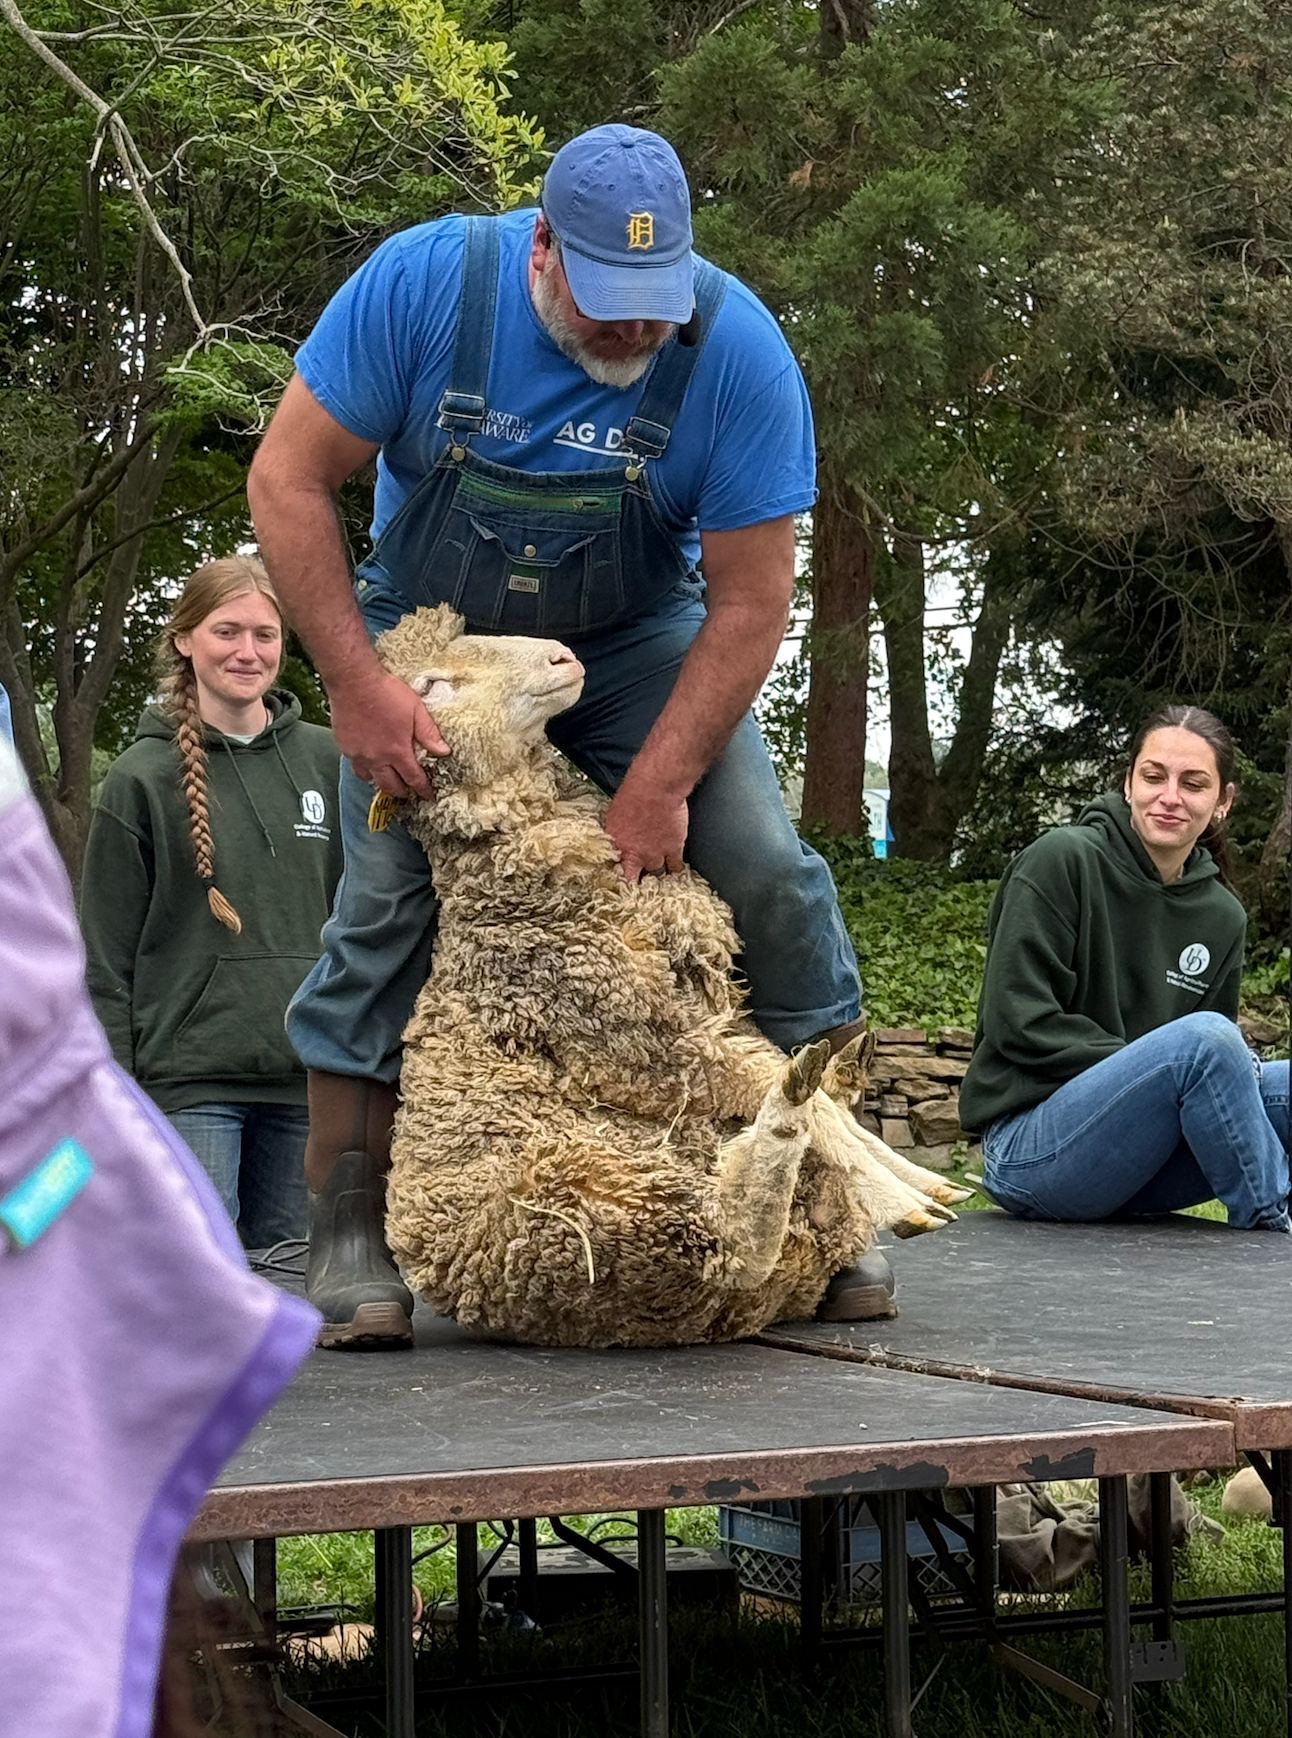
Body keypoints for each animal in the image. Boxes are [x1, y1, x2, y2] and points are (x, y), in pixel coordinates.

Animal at [377, 605, 968, 1348]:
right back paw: (790, 1117)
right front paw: (903, 1199)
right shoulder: (641, 1040)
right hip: (581, 1199)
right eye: (432, 686)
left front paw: (920, 1181)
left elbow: (817, 1106)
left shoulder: (707, 1010)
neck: (506, 877)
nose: (563, 658)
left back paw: (824, 1091)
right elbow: (786, 1096)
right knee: (730, 1242)